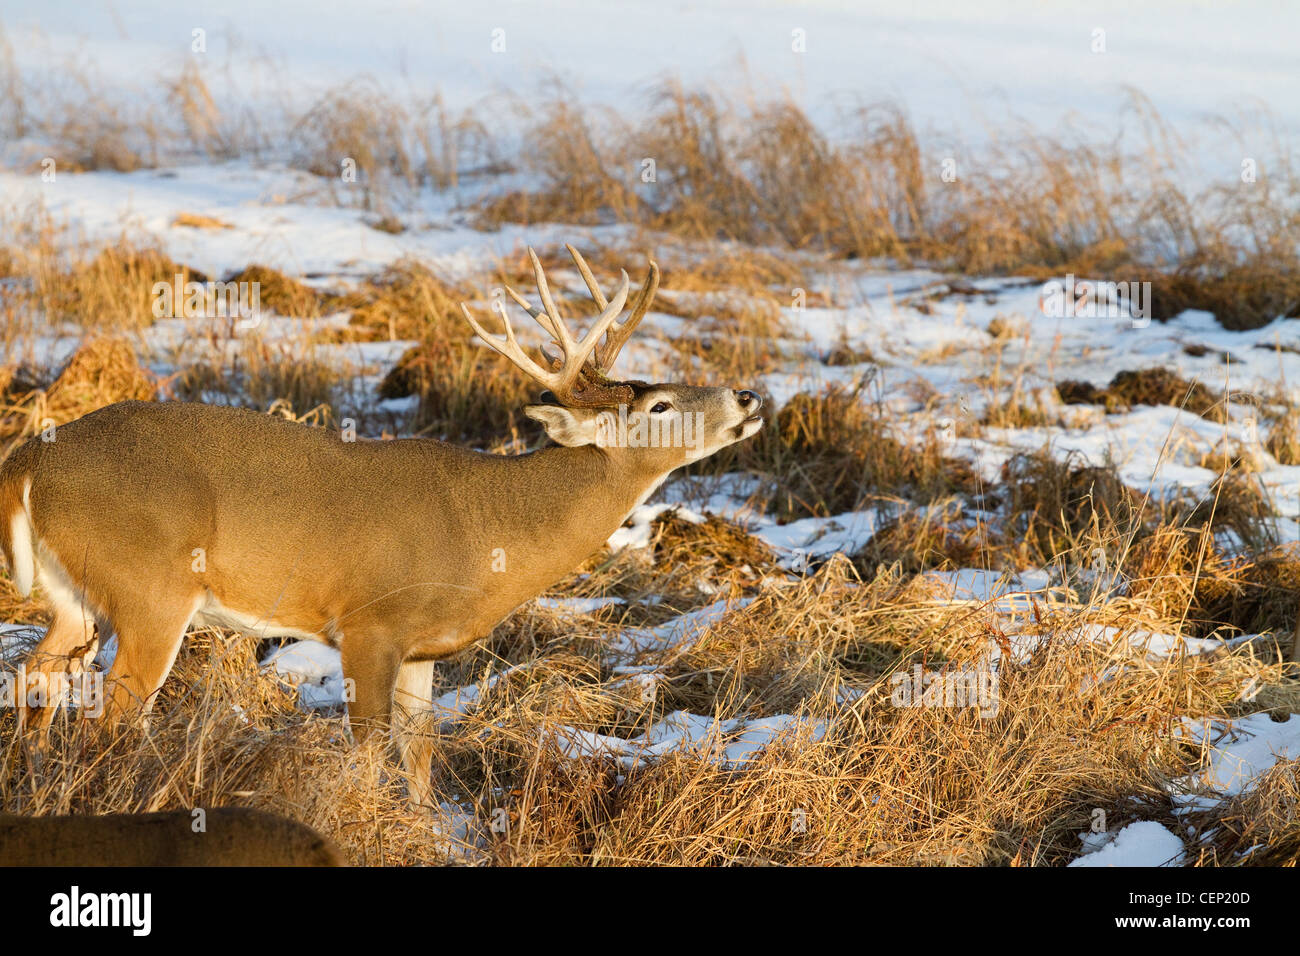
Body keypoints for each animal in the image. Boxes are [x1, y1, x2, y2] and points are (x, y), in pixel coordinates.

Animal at [0, 245, 764, 807]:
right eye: (660, 405)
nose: (750, 395)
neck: (491, 528)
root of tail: (30, 457)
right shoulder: (369, 621)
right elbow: (368, 752)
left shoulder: (424, 649)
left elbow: (422, 755)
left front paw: (430, 834)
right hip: (151, 589)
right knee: (112, 713)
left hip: (77, 596)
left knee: (37, 676)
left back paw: (32, 780)